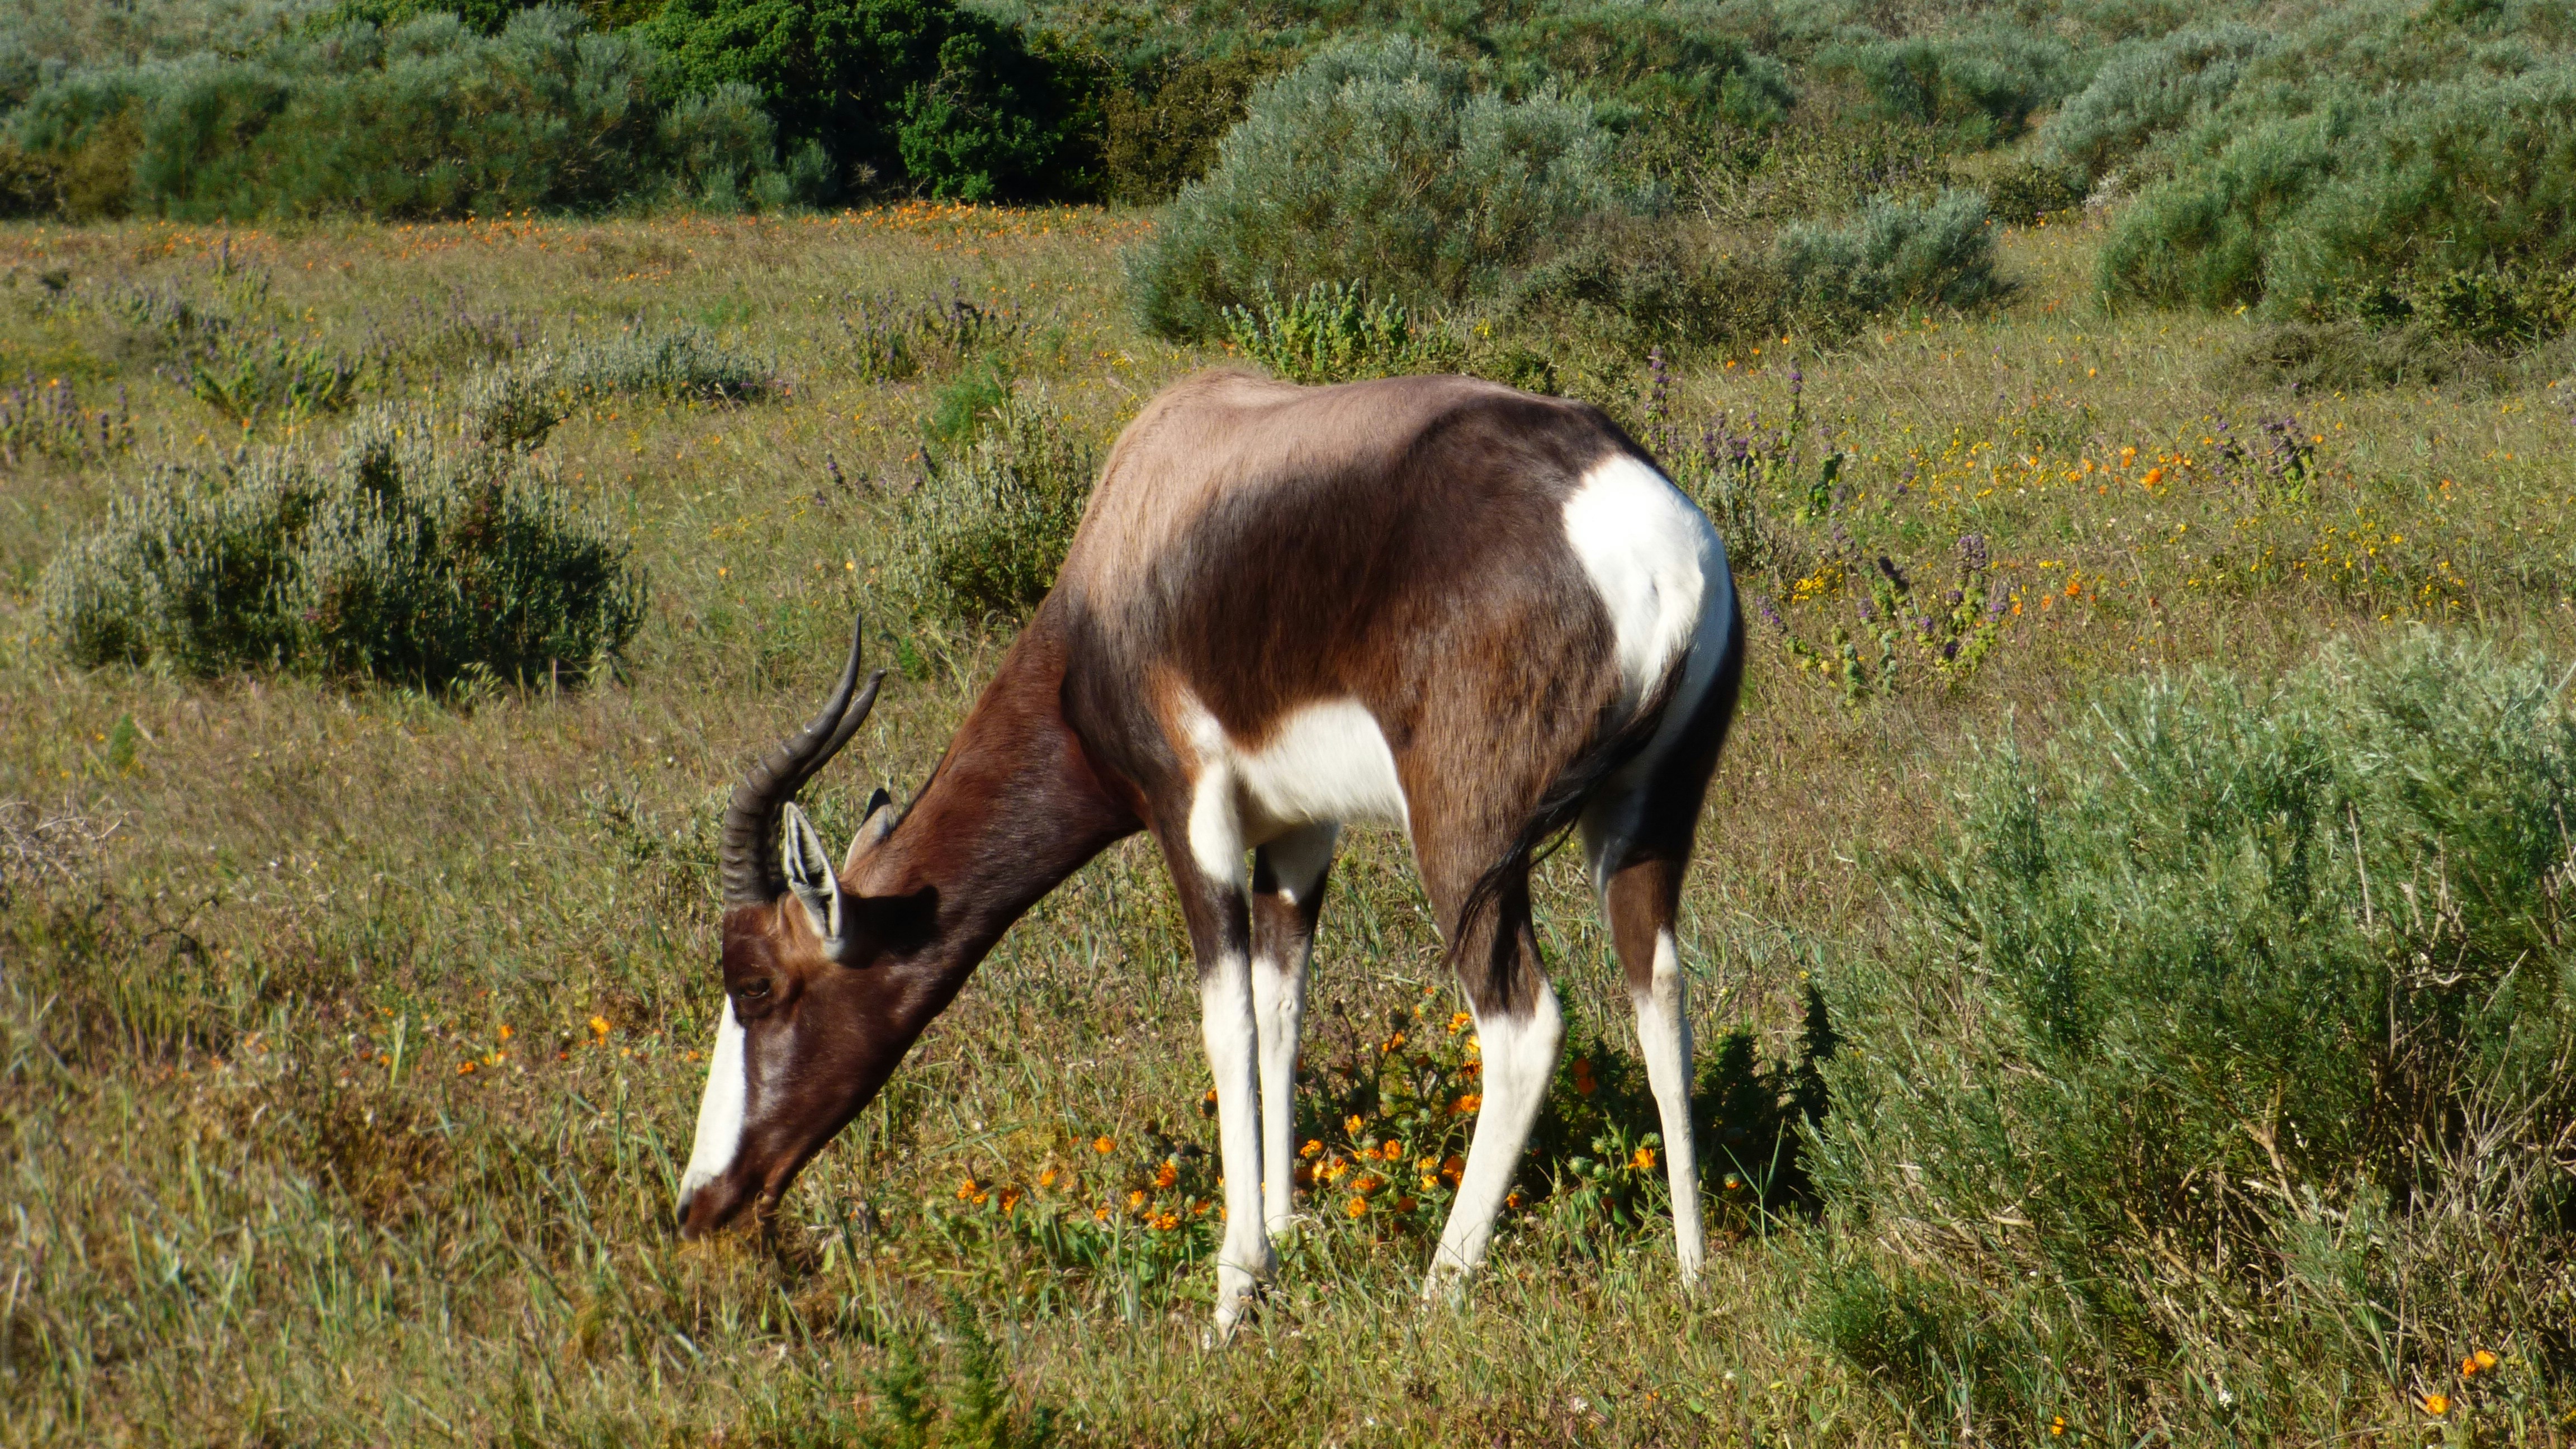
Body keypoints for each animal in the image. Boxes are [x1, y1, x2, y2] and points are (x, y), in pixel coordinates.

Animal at [676, 369, 1743, 1331]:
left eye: (757, 986)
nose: (698, 1205)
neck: (1135, 525)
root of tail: (1654, 542)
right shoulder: (1301, 835)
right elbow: (1280, 1011)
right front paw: (1288, 1226)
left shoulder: (1192, 819)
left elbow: (1224, 1029)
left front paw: (1237, 1289)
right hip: (1644, 823)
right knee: (1660, 992)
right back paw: (1692, 1273)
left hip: (1465, 839)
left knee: (1524, 1025)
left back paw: (1436, 1293)